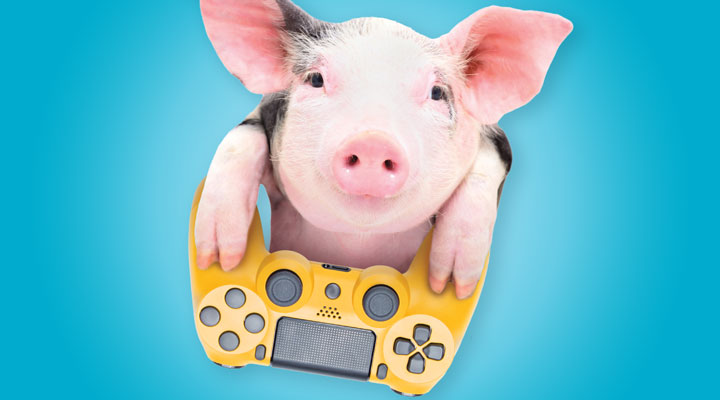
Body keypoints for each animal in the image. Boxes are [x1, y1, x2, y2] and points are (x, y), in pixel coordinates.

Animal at [194, 0, 572, 299]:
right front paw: (220, 259)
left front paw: (450, 285)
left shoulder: (497, 141)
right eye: (315, 79)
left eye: (437, 93)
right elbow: (239, 140)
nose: (373, 140)